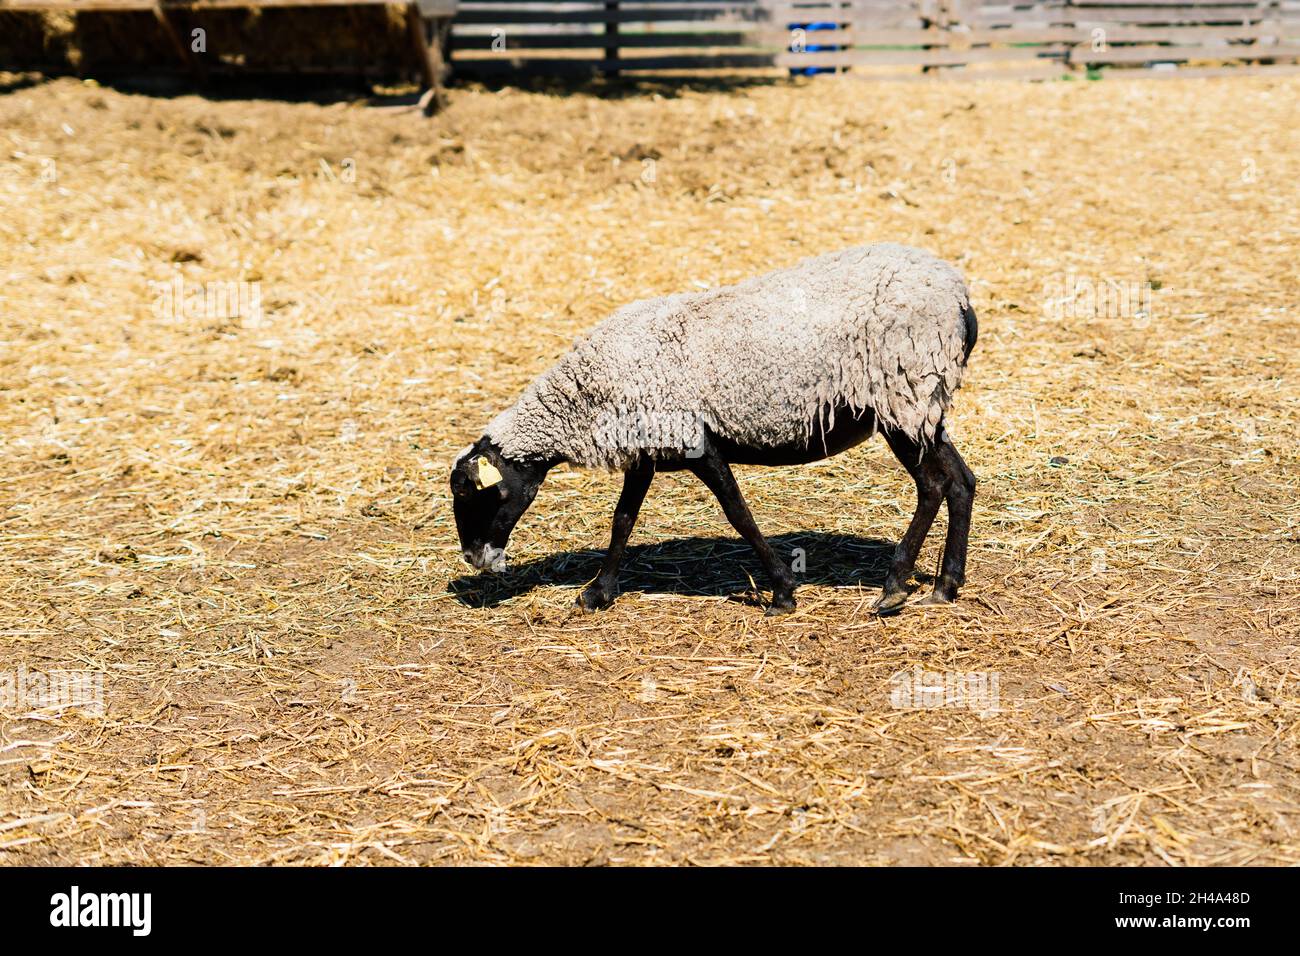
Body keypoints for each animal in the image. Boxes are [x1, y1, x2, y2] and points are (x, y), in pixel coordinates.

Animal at [451, 243, 978, 616]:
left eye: (475, 494)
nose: (474, 559)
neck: (586, 394)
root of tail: (959, 296)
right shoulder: (649, 448)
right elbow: (623, 520)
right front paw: (596, 593)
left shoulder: (694, 443)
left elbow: (738, 514)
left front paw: (782, 593)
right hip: (922, 404)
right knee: (961, 481)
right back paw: (945, 585)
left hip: (904, 394)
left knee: (933, 485)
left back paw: (893, 588)